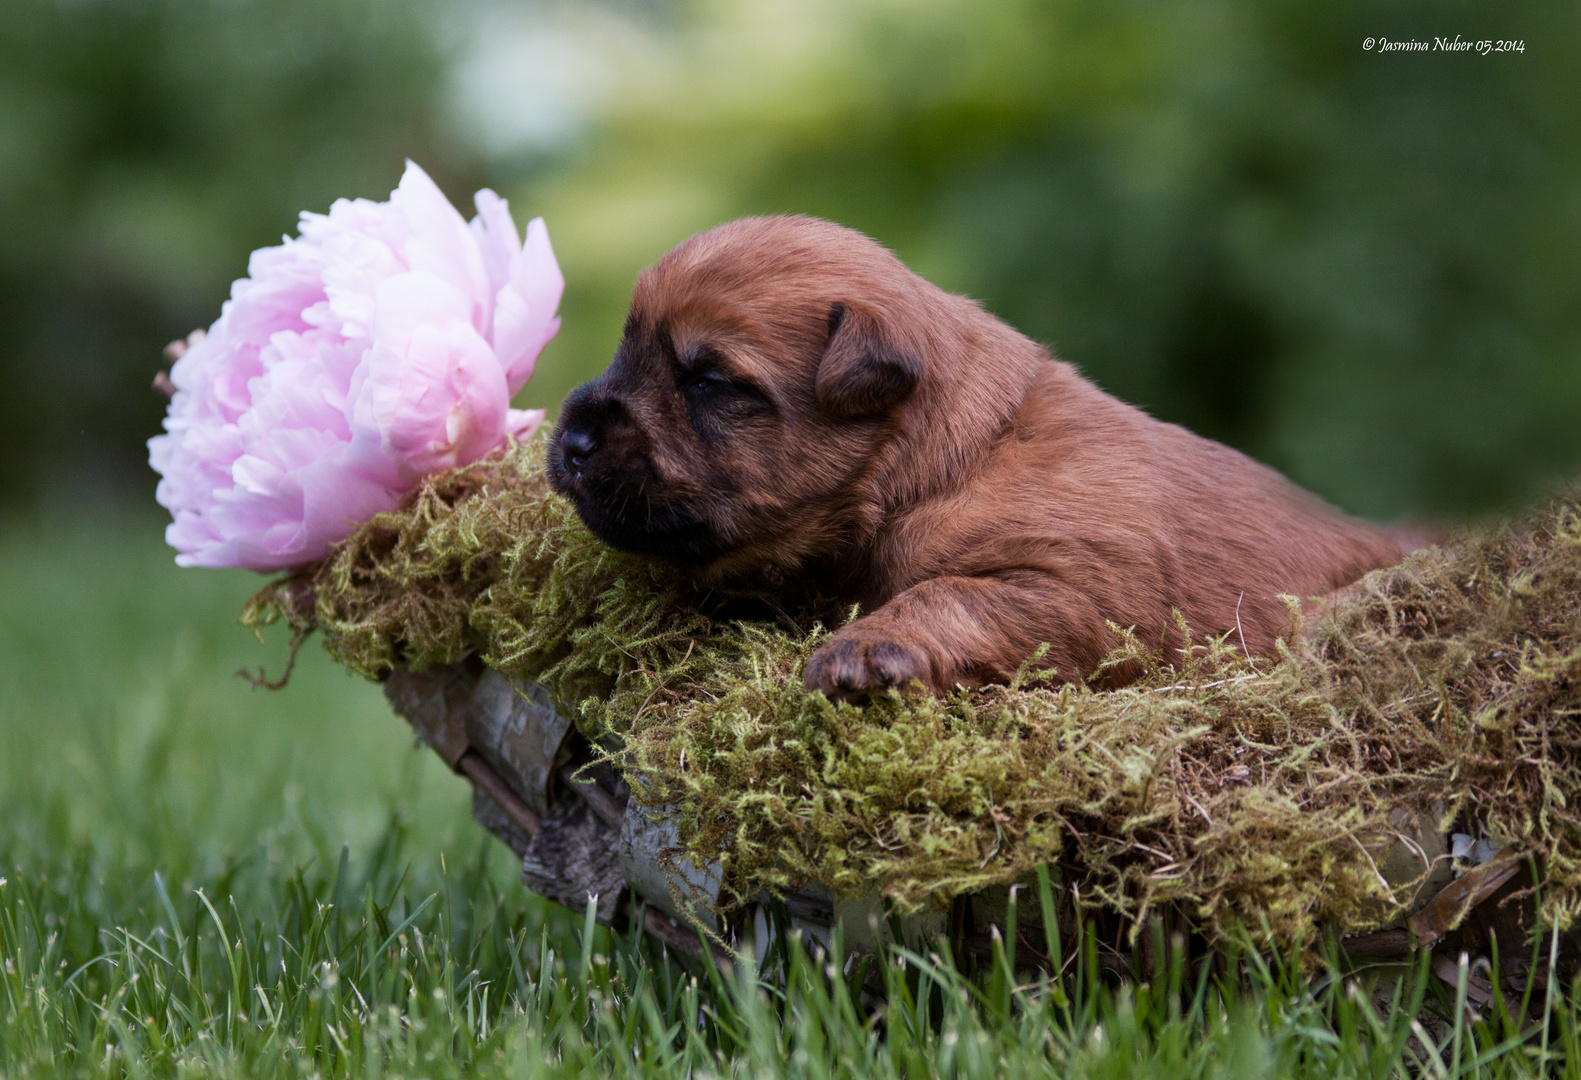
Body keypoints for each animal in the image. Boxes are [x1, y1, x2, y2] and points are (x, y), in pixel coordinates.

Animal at [547, 215, 1410, 695]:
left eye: (707, 379)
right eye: (626, 347)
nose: (571, 441)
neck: (939, 470)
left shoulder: (1079, 588)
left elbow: (946, 594)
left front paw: (862, 652)